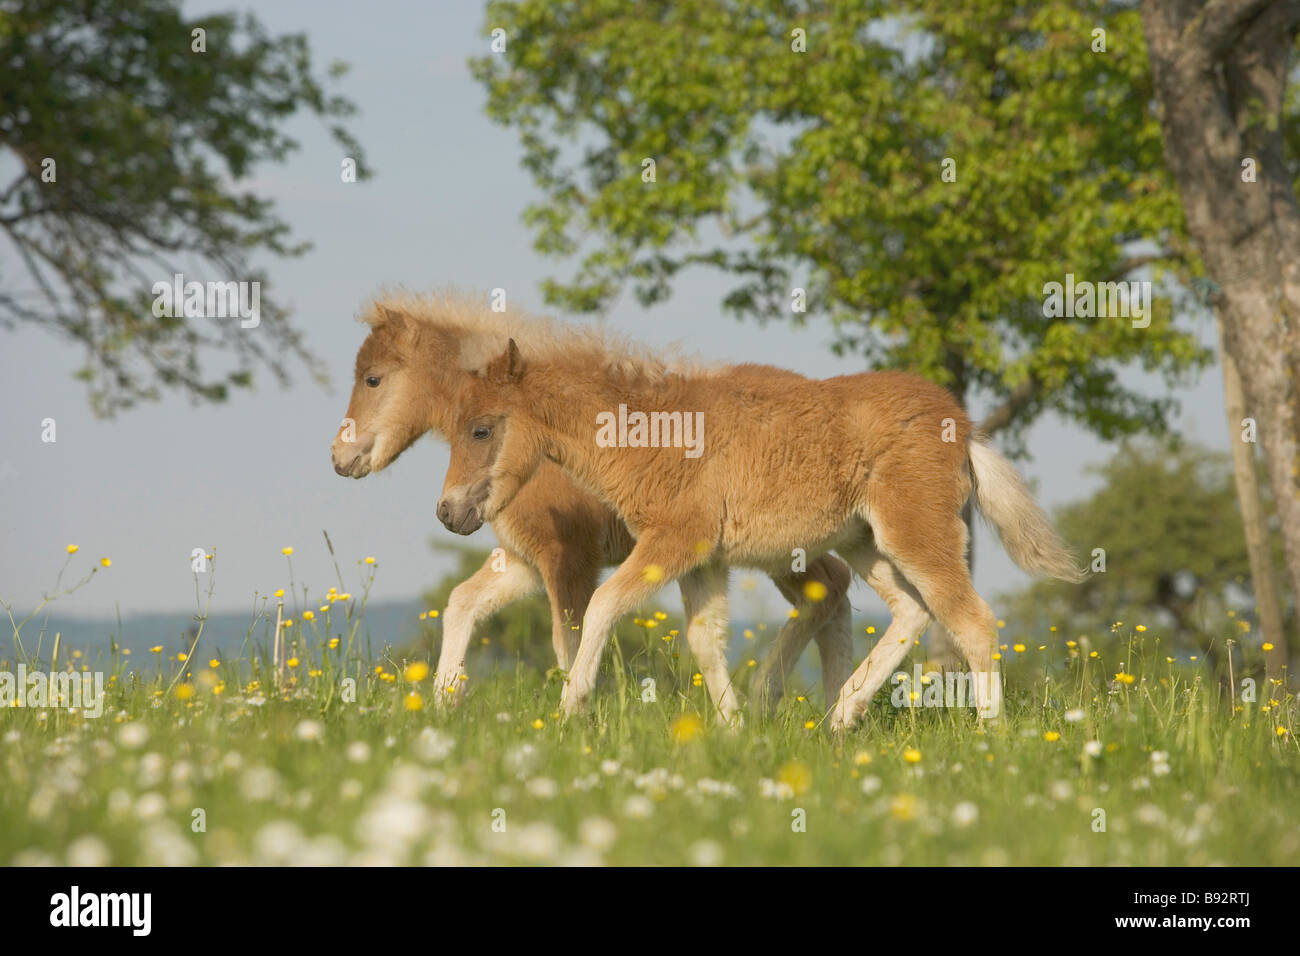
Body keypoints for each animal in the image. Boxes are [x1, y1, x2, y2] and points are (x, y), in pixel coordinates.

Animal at [330, 291, 856, 722]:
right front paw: (443, 703)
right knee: (835, 586)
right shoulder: (524, 559)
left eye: (373, 378)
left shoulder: (567, 557)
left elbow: (570, 638)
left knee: (829, 588)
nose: (339, 457)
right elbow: (462, 602)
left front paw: (584, 716)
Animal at [437, 335, 1085, 729]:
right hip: (865, 543)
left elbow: (599, 608)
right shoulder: (703, 559)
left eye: (481, 430)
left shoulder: (672, 541)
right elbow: (706, 638)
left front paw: (570, 711)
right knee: (911, 610)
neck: (649, 435)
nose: (448, 512)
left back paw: (990, 736)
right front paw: (734, 731)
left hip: (916, 533)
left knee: (971, 620)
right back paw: (839, 718)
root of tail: (963, 427)